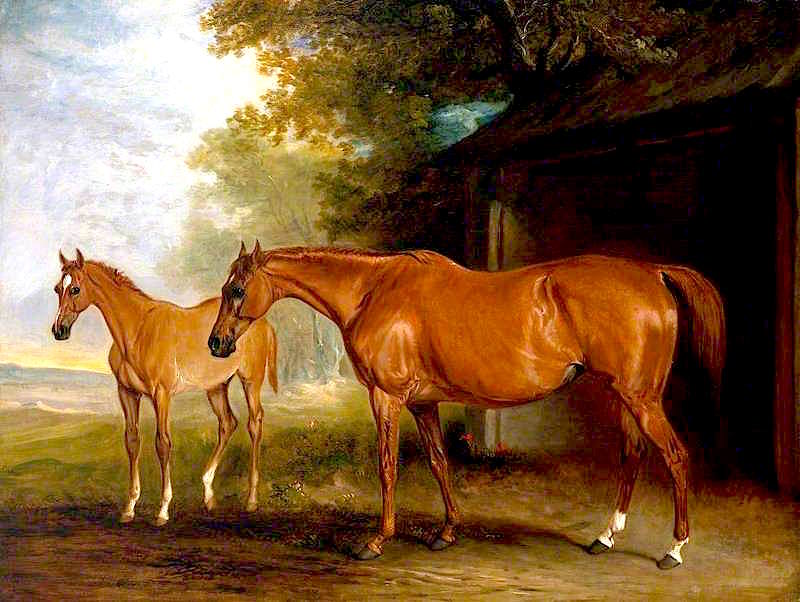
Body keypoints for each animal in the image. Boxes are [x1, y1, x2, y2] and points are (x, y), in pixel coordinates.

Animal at [52, 249, 278, 525]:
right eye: (56, 289)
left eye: (74, 289)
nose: (59, 330)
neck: (137, 330)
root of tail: (262, 321)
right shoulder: (127, 393)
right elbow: (132, 440)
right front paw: (129, 507)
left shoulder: (161, 394)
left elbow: (163, 443)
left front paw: (163, 509)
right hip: (216, 387)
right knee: (227, 423)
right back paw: (208, 495)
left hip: (250, 381)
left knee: (254, 423)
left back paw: (251, 500)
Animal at [209, 242, 724, 570]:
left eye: (237, 290)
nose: (216, 343)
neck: (373, 291)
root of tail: (652, 273)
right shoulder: (423, 404)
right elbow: (439, 462)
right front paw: (446, 532)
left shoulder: (386, 397)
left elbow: (387, 467)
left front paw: (376, 541)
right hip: (624, 395)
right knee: (633, 456)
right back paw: (604, 537)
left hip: (641, 399)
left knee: (675, 457)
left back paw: (674, 550)